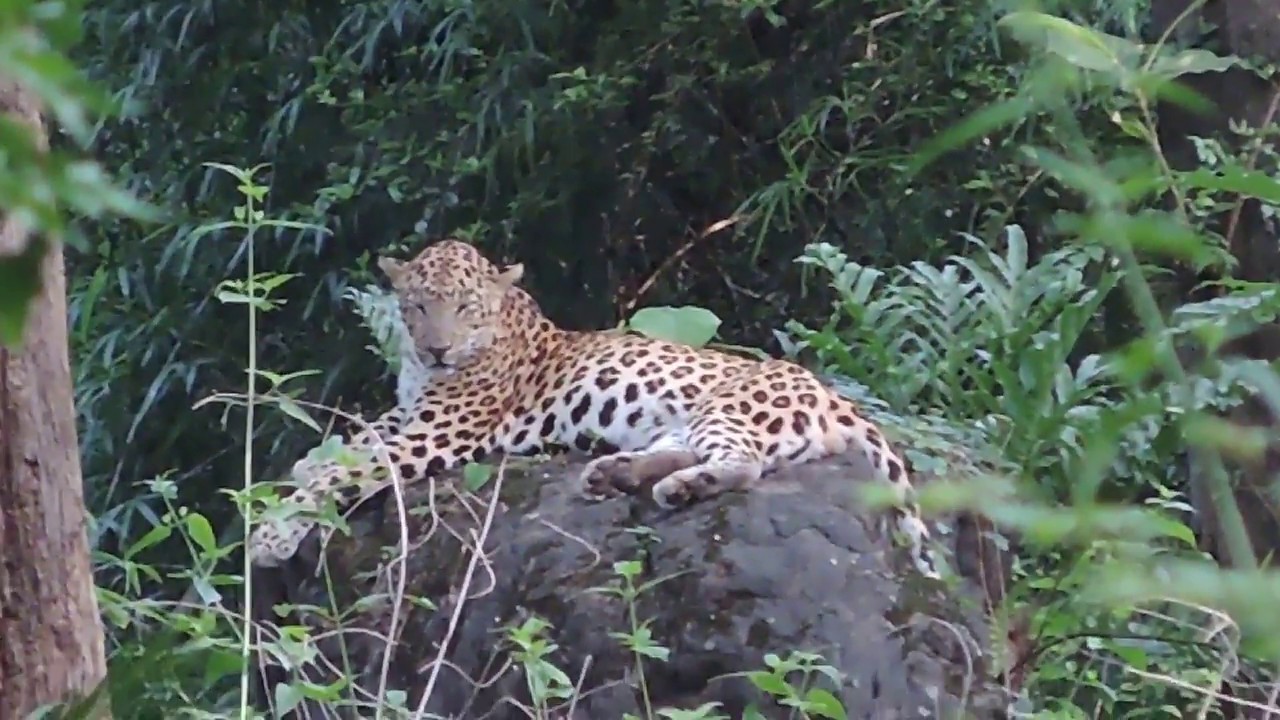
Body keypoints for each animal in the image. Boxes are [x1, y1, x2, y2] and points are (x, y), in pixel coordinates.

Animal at [248, 239, 941, 578]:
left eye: (466, 307)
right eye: (416, 306)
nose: (437, 348)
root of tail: (833, 396)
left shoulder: (437, 434)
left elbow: (350, 469)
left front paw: (273, 534)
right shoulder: (411, 413)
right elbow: (357, 436)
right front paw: (308, 464)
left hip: (729, 408)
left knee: (742, 463)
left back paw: (677, 487)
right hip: (686, 421)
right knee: (683, 452)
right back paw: (617, 474)